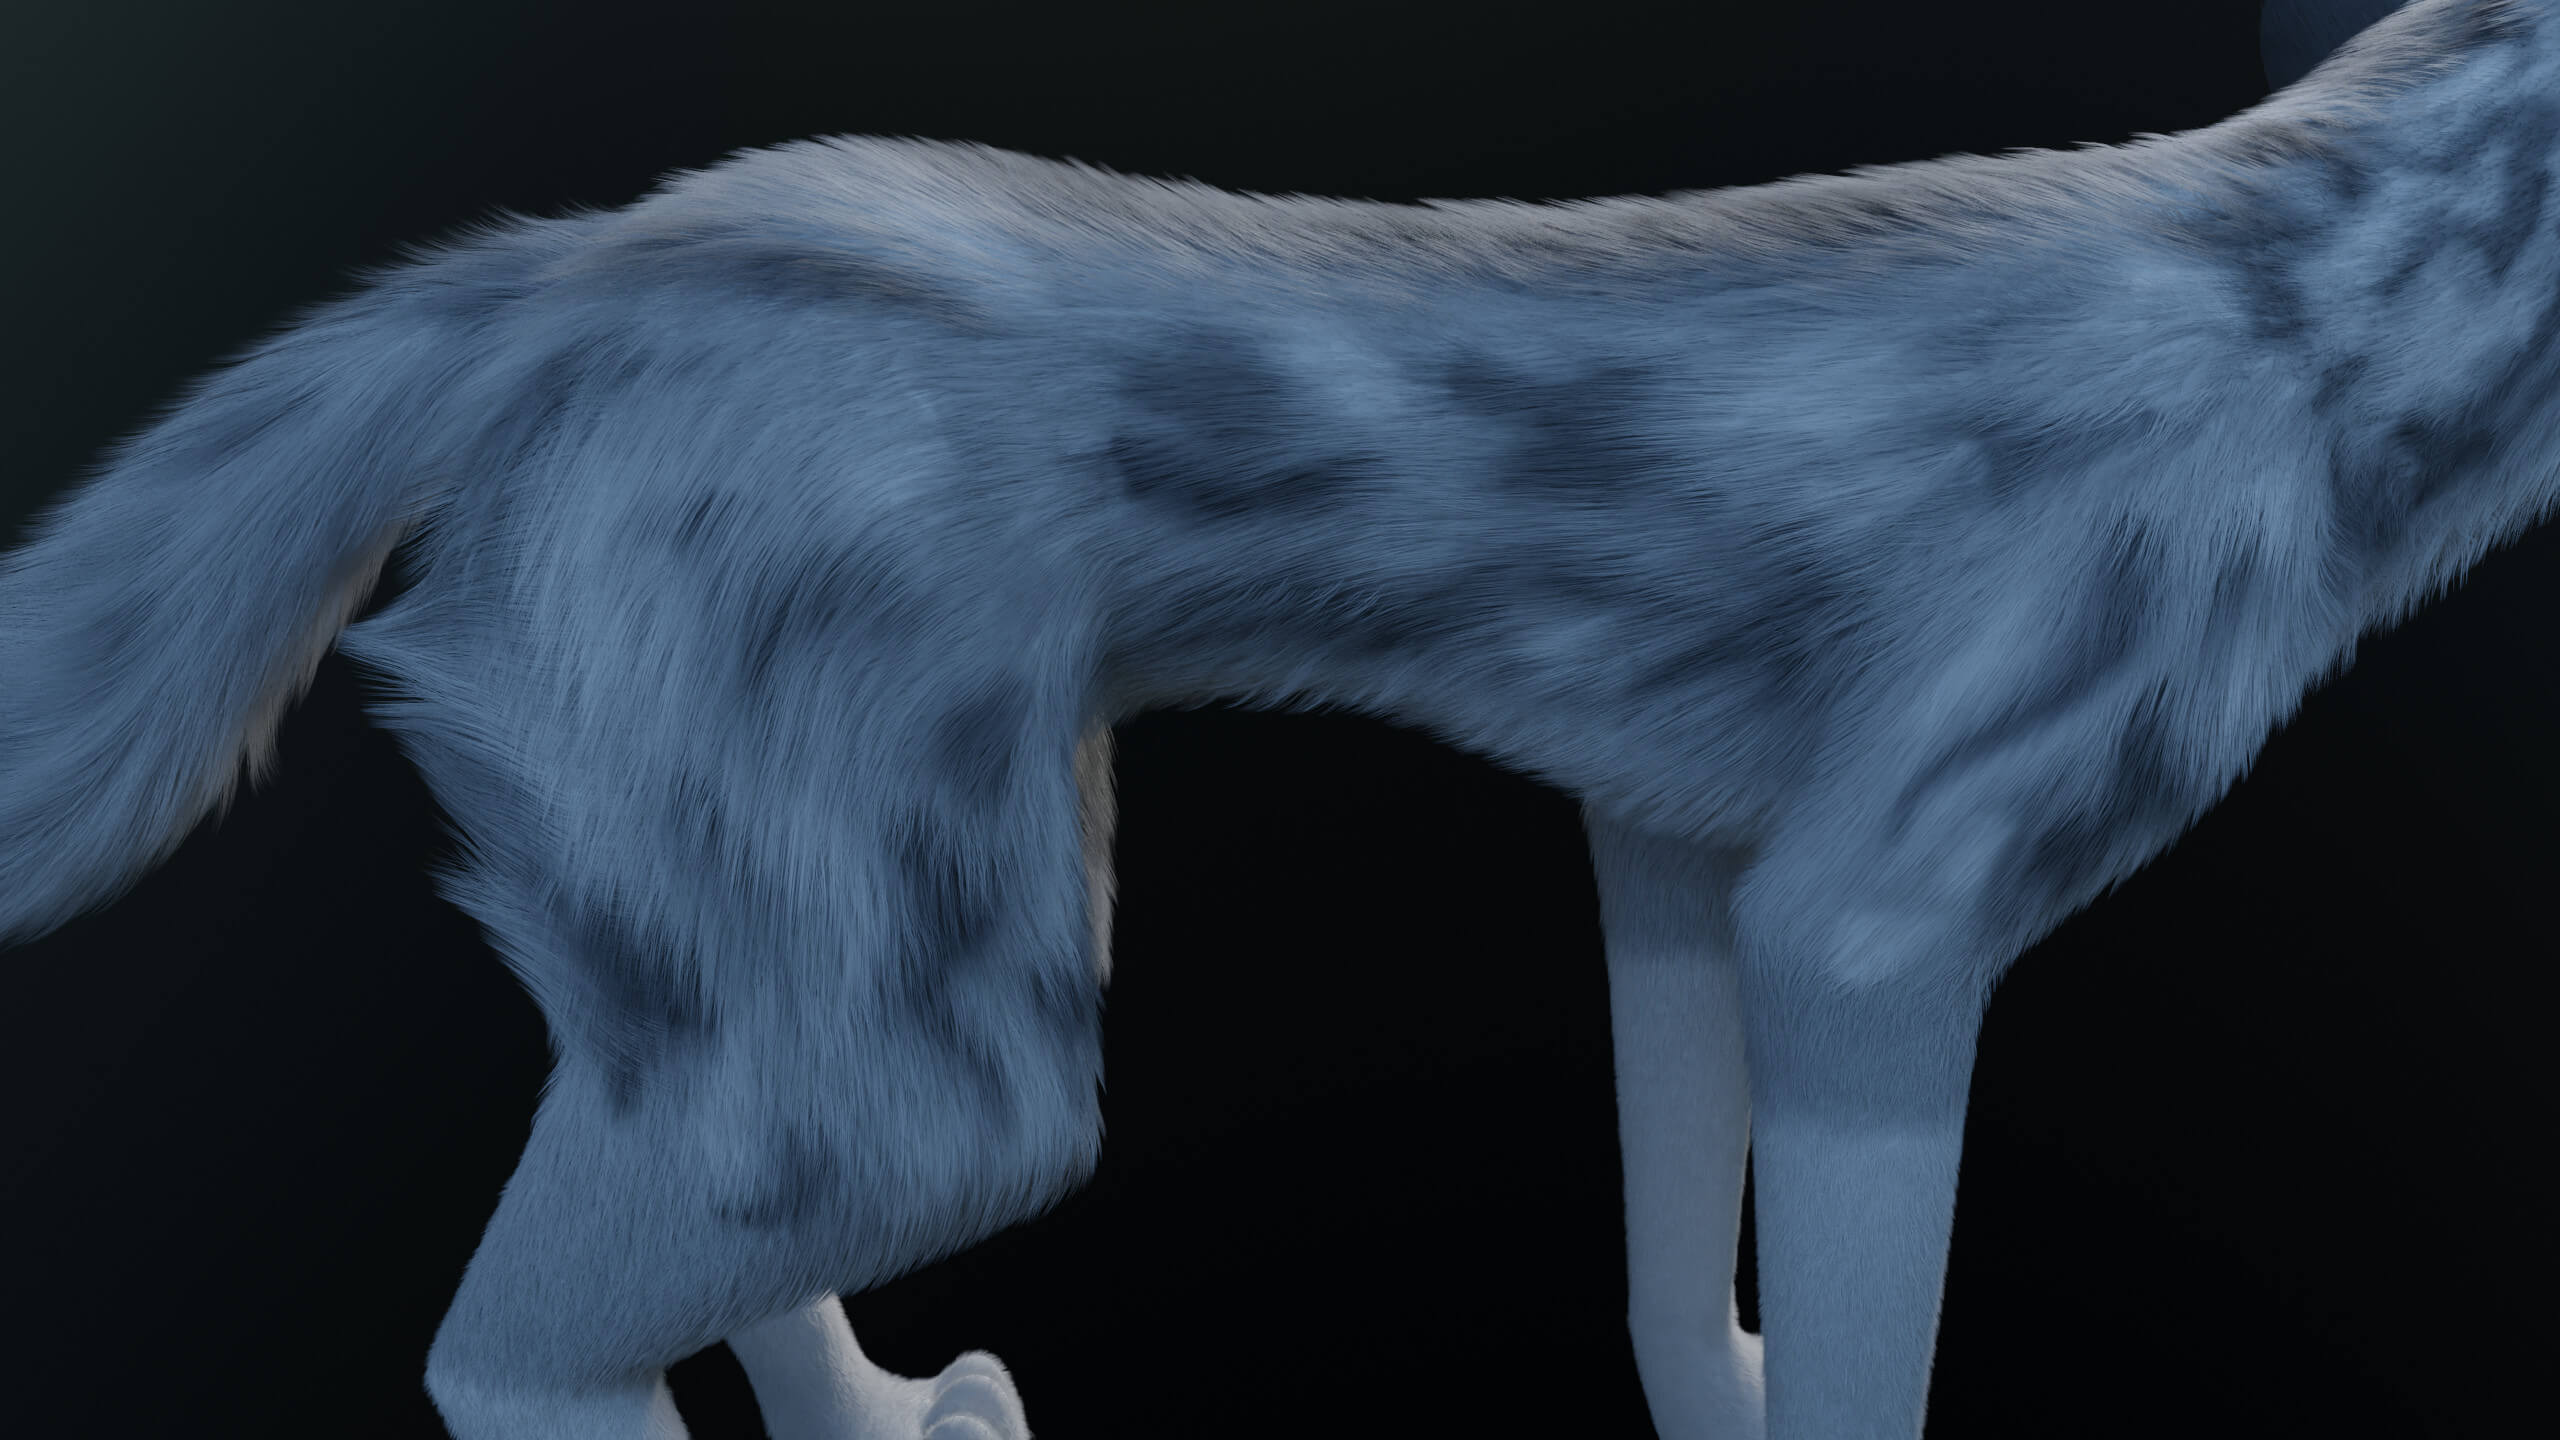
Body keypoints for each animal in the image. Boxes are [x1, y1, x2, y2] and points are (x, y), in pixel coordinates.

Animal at [3, 1, 2551, 1436]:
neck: (2349, 292)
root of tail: (557, 273)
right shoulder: (1882, 906)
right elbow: (1861, 1345)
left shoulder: (1679, 845)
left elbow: (1676, 1251)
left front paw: (1706, 1396)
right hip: (935, 1066)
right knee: (513, 1355)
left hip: (801, 971)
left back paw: (886, 1422)